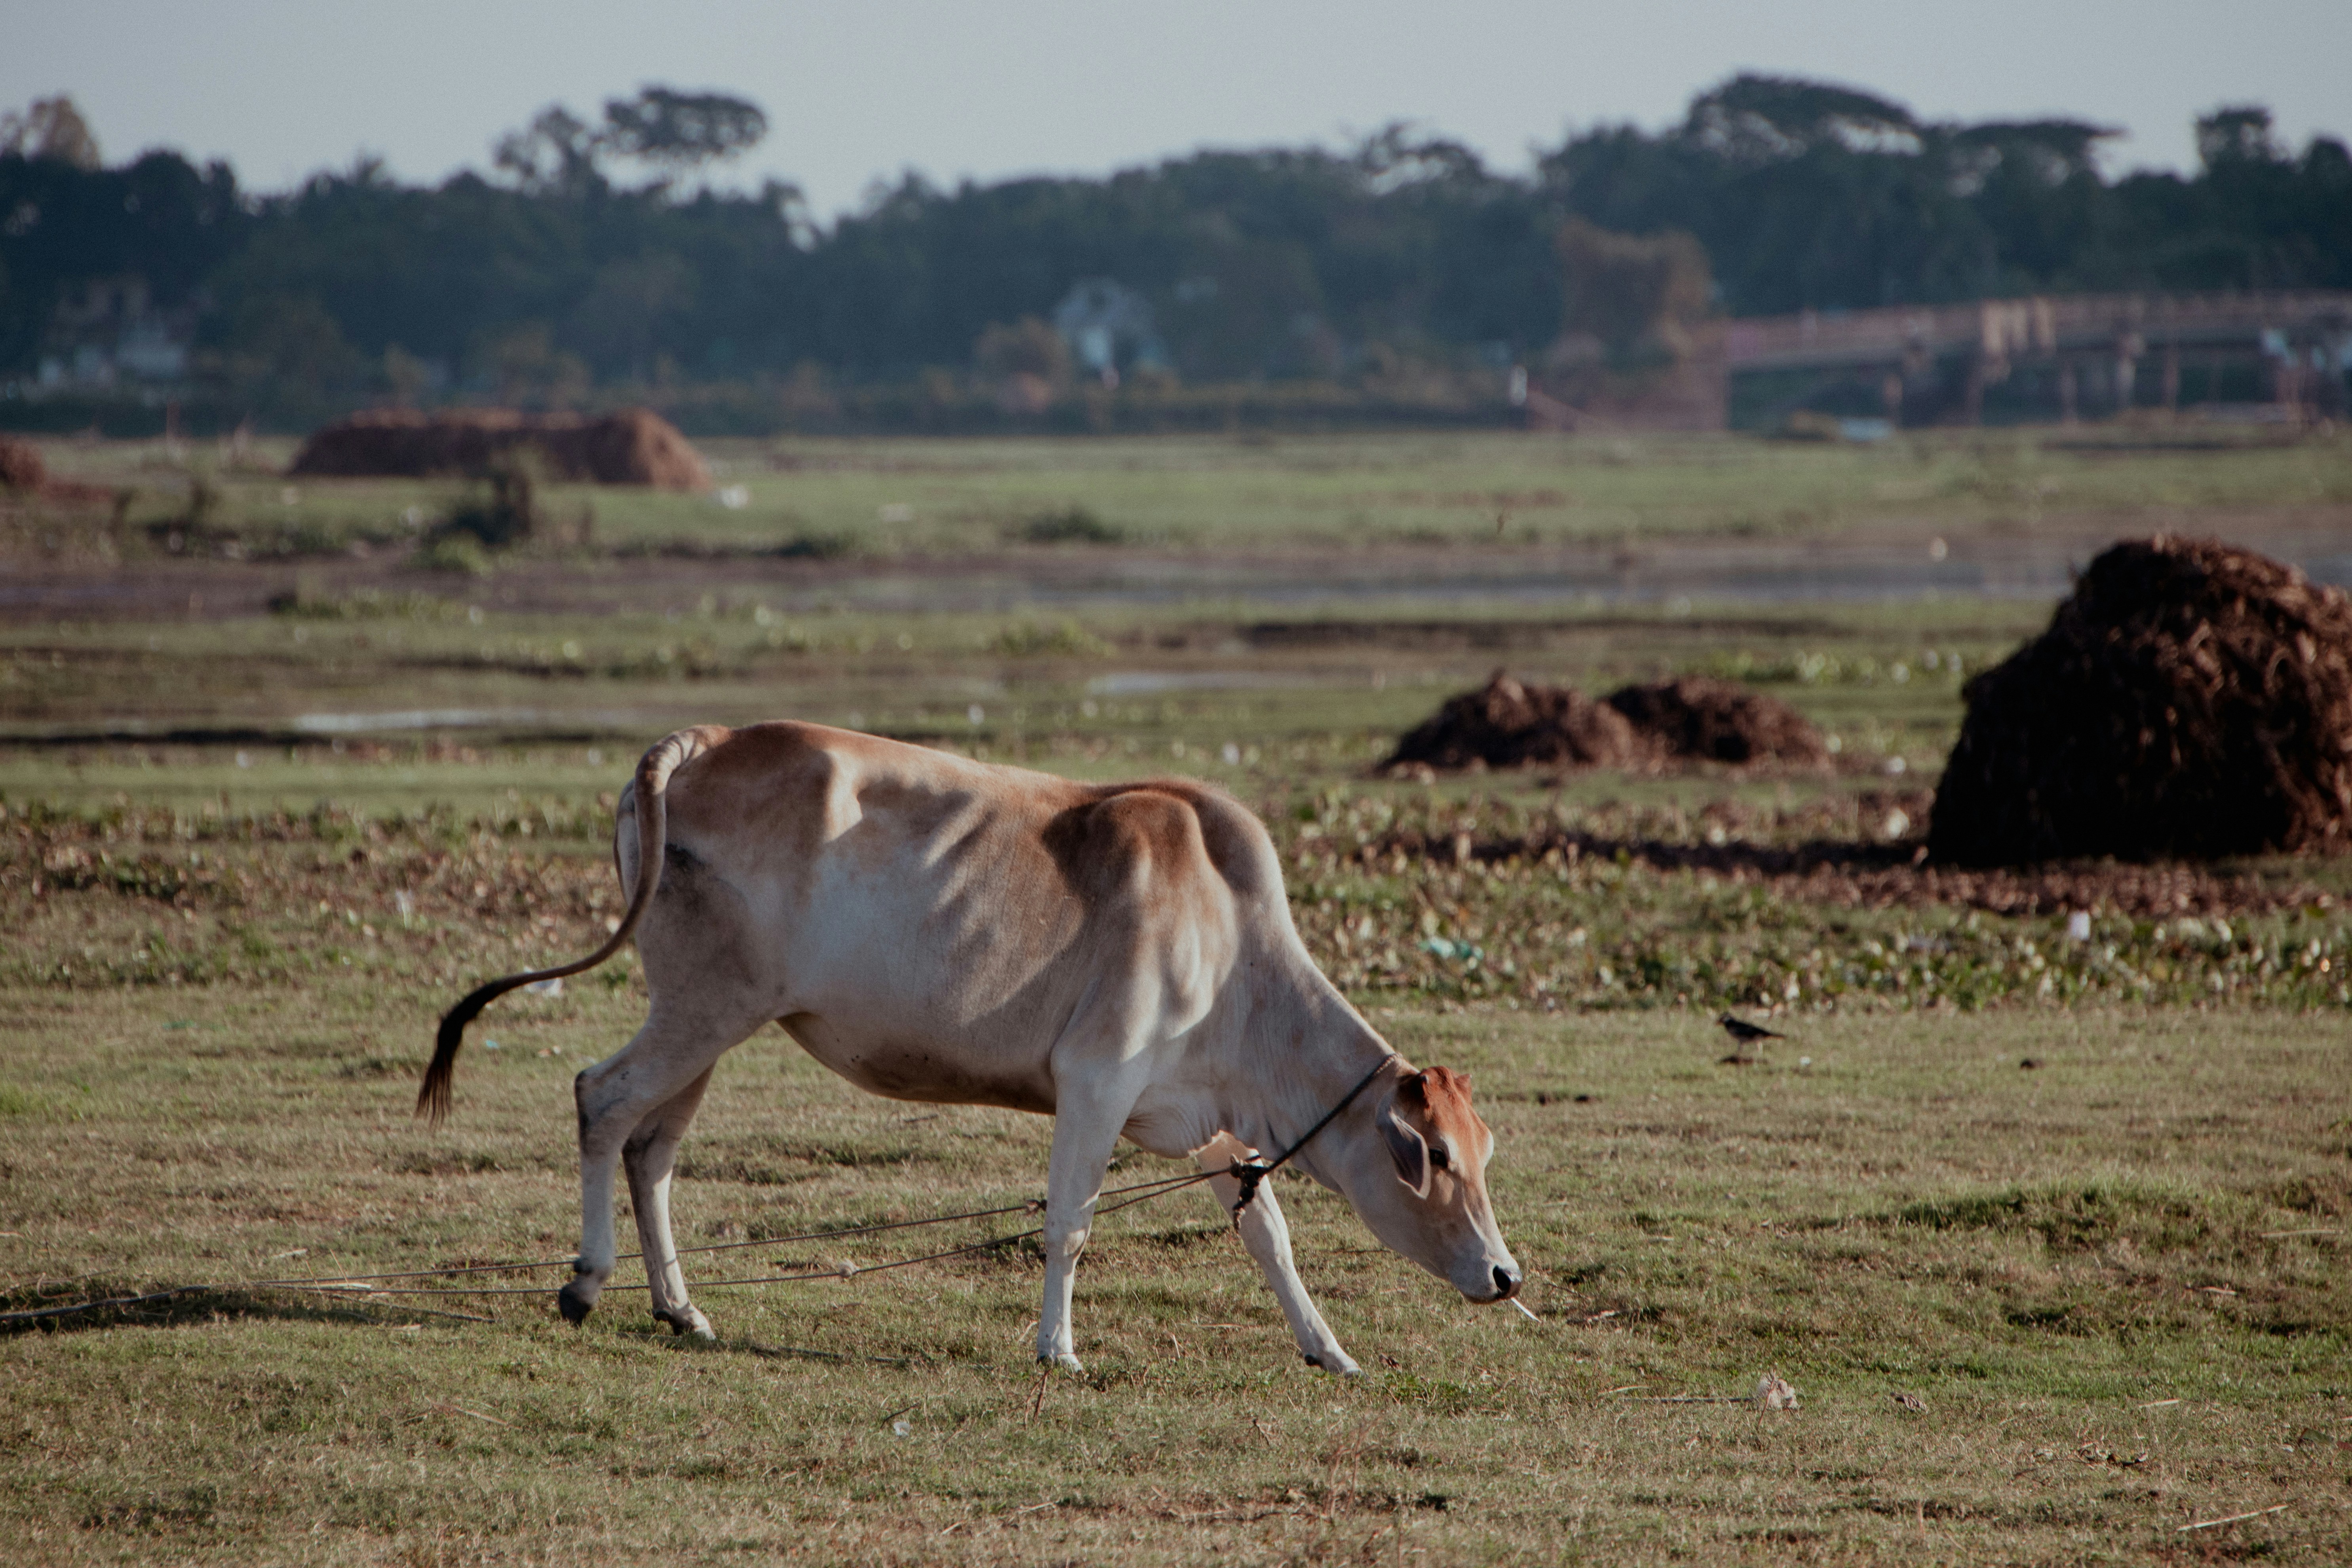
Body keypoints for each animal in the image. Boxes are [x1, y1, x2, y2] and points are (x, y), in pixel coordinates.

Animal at [419, 723, 1520, 1374]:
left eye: (1483, 1150)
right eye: (1435, 1155)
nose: (1507, 1275)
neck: (1231, 938)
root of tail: (697, 743)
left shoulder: (1207, 1120)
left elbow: (1269, 1237)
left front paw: (1327, 1348)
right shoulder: (1097, 1081)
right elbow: (1069, 1225)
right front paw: (1057, 1349)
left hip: (712, 1023)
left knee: (652, 1147)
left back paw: (680, 1309)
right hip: (701, 1007)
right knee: (602, 1098)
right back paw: (585, 1281)